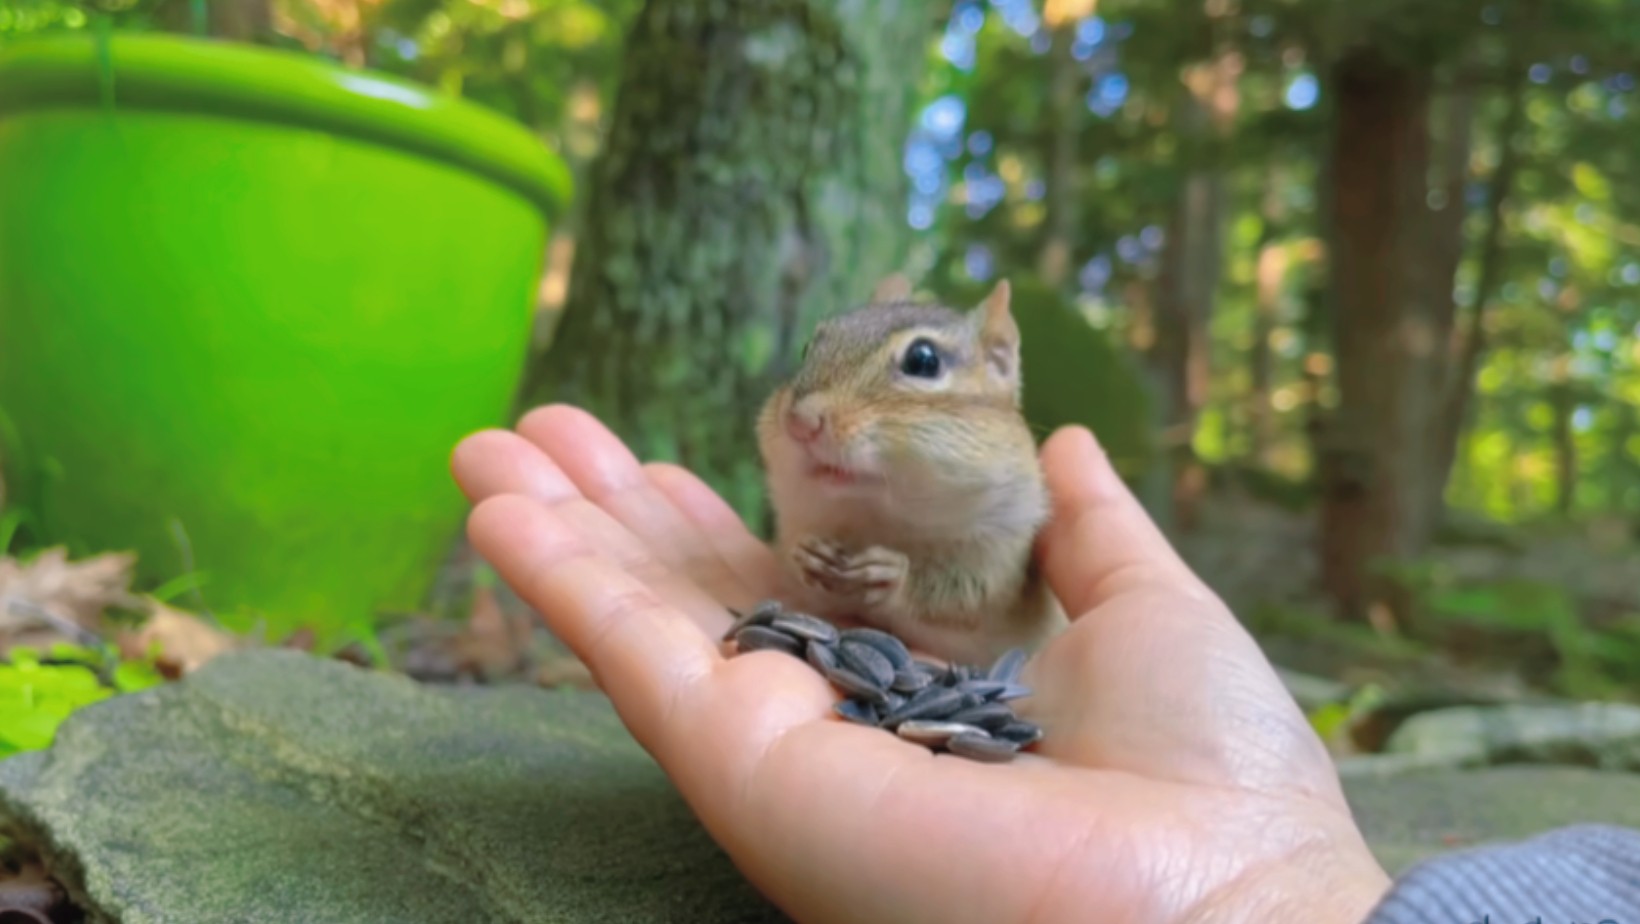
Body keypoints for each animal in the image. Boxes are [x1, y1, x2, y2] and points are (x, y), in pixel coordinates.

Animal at [754, 275, 1068, 667]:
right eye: (807, 348)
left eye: (923, 360)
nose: (800, 422)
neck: (878, 516)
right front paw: (807, 554)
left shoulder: (1005, 554)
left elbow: (965, 595)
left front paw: (892, 575)